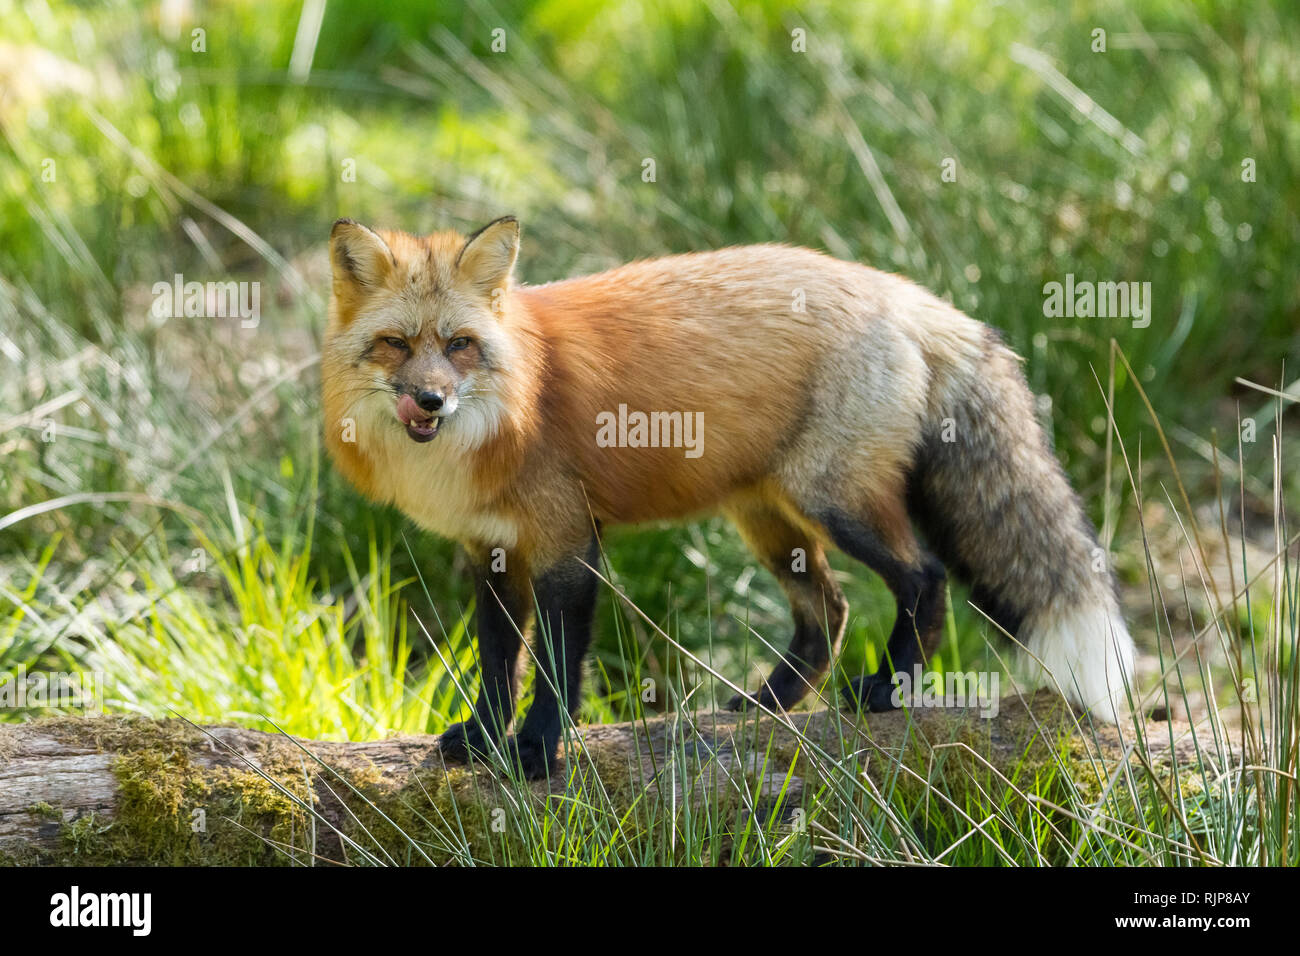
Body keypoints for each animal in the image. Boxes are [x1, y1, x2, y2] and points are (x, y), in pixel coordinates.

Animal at [322, 215, 1136, 778]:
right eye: (396, 344)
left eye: (460, 346)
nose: (430, 401)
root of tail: (906, 294)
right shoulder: (492, 548)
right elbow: (498, 660)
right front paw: (487, 737)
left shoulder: (566, 540)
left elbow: (554, 663)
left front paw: (539, 749)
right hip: (768, 522)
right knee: (827, 614)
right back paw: (763, 708)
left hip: (834, 500)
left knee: (923, 577)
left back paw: (887, 689)